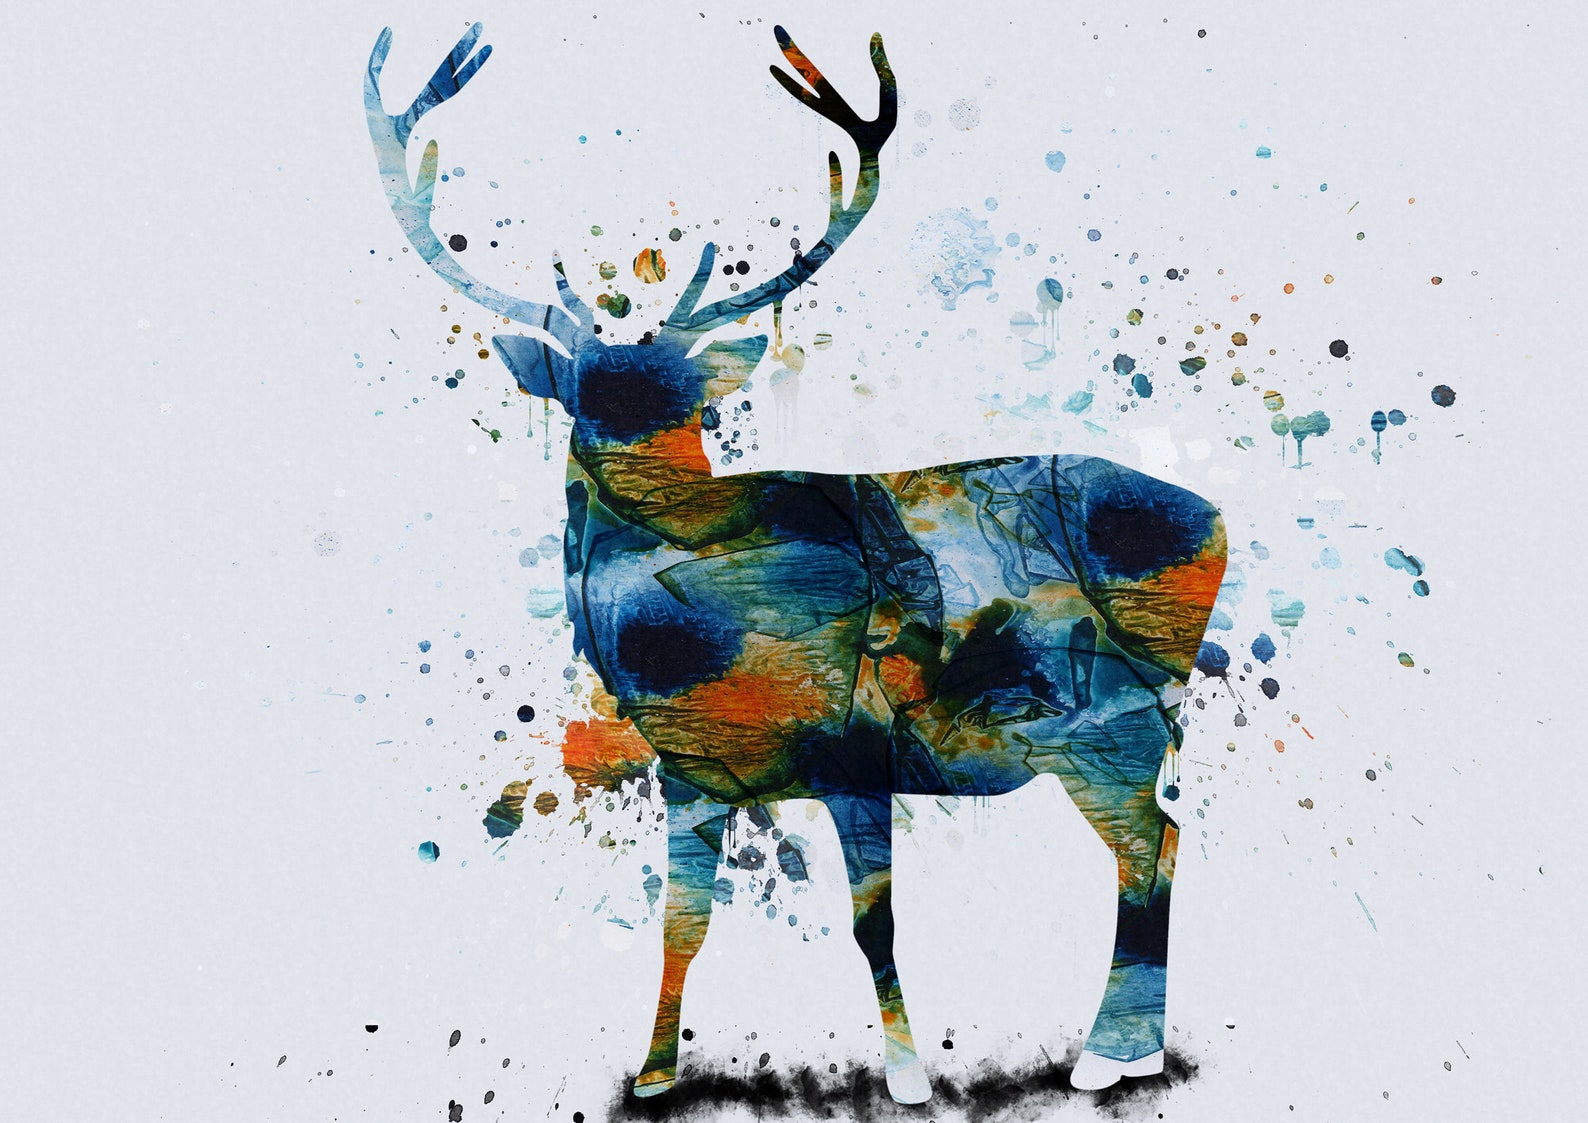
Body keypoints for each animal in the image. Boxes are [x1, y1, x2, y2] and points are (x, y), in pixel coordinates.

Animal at [366, 23, 1227, 1104]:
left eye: (690, 400)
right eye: (584, 394)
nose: (645, 494)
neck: (701, 657)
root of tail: (1224, 517)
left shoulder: (859, 750)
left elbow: (873, 924)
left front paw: (908, 1079)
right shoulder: (689, 774)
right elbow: (682, 922)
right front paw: (653, 1075)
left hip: (1110, 716)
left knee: (1149, 846)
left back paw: (1104, 1057)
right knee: (1160, 841)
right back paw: (1122, 1049)